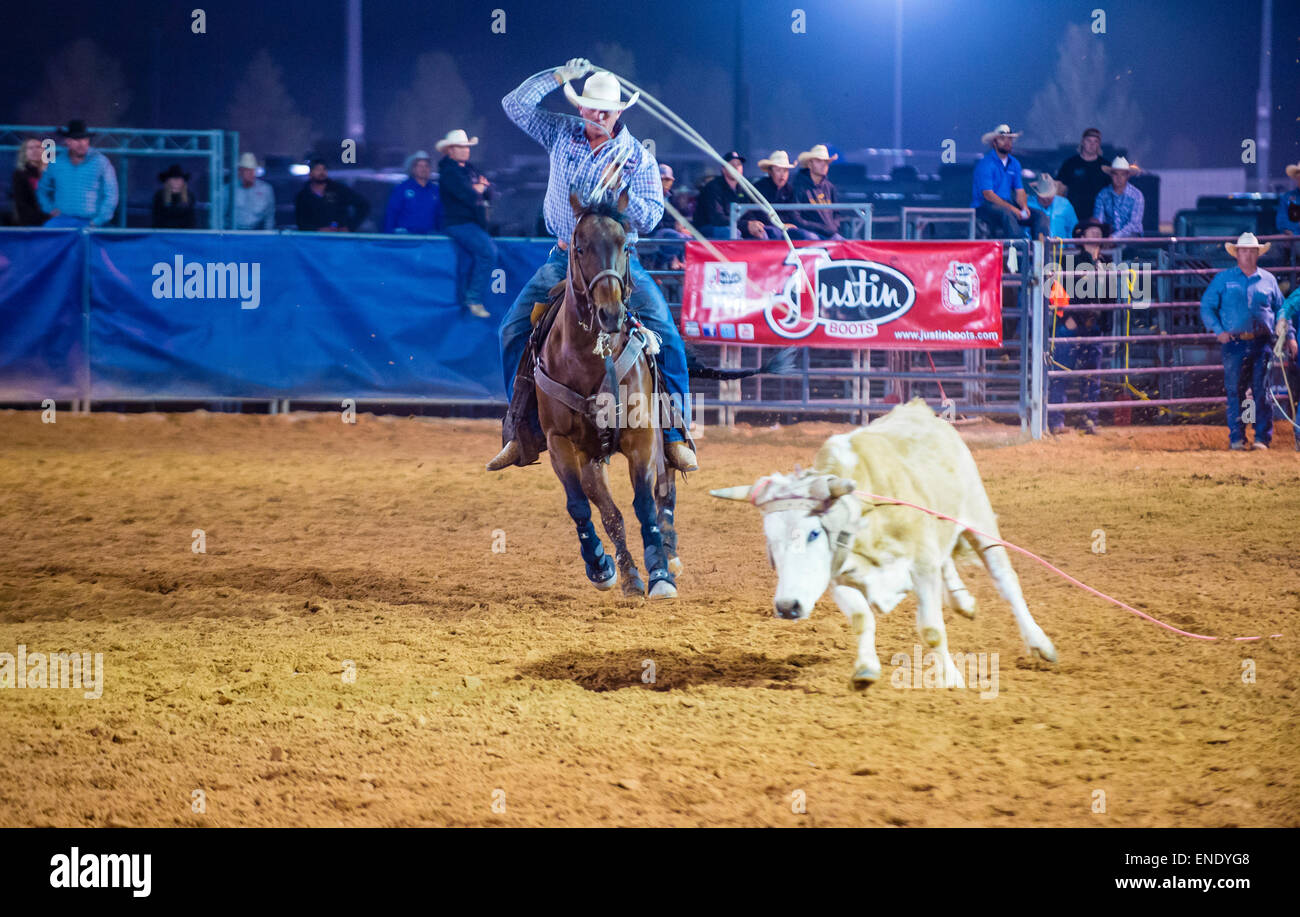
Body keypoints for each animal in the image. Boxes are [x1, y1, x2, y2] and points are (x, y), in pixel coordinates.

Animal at [711, 399, 1057, 689]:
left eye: (813, 533)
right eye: (770, 539)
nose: (787, 607)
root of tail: (920, 410)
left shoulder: (921, 565)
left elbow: (932, 629)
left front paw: (951, 678)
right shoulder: (839, 577)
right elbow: (862, 618)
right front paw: (865, 668)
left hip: (979, 519)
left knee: (1007, 582)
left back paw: (1040, 643)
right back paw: (963, 601)